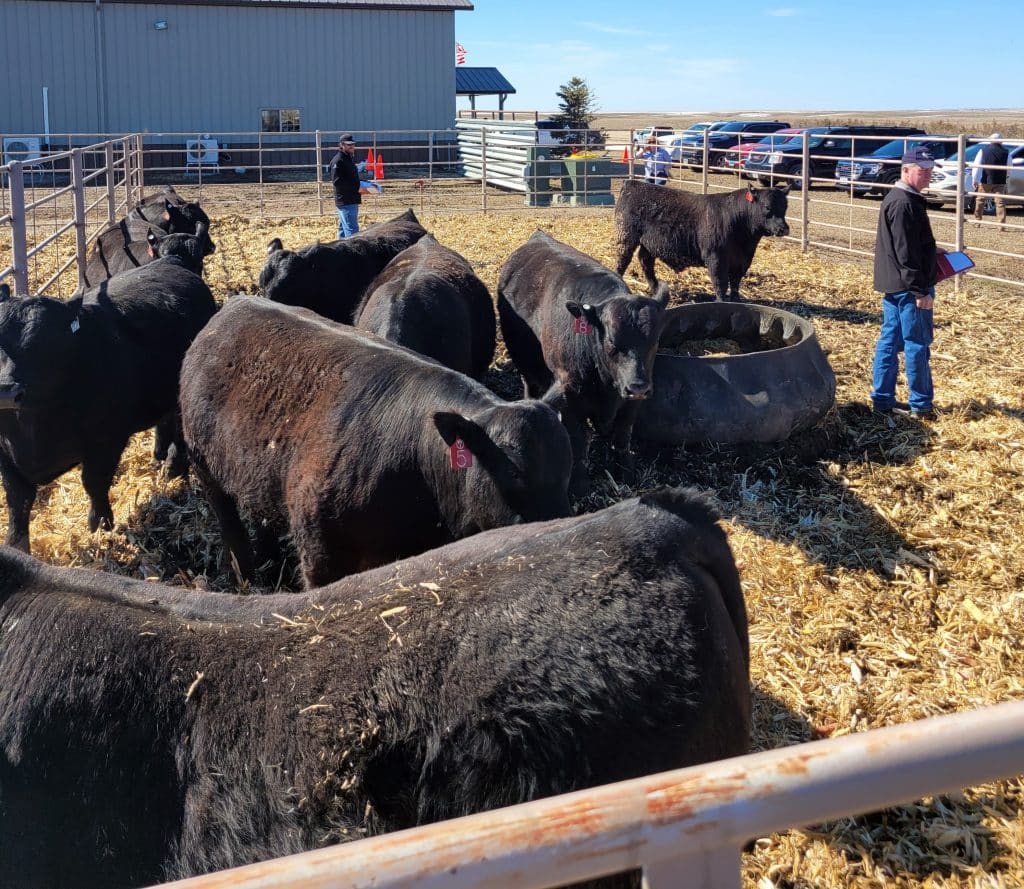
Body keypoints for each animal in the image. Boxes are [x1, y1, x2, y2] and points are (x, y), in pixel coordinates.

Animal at [0, 258, 217, 552]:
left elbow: (94, 482)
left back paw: (173, 467)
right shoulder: (5, 454)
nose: (7, 391)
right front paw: (15, 545)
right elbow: (17, 499)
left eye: (47, 343)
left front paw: (100, 524)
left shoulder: (106, 440)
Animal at [180, 296, 573, 588]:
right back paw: (246, 575)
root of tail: (233, 306)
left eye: (569, 471)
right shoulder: (319, 548)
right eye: (514, 472)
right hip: (204, 464)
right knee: (229, 520)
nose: (556, 529)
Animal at [498, 230, 670, 498]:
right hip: (523, 357)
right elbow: (579, 444)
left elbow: (622, 438)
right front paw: (580, 486)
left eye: (655, 341)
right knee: (530, 384)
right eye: (611, 341)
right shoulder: (570, 397)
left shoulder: (632, 403)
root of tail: (538, 237)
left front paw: (626, 473)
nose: (638, 386)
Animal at [615, 180, 790, 301]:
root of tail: (631, 183)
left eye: (785, 207)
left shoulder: (743, 260)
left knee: (646, 262)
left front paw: (736, 300)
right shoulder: (715, 258)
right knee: (622, 262)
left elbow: (735, 283)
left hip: (649, 243)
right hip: (626, 237)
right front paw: (721, 302)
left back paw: (655, 288)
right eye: (767, 207)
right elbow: (720, 283)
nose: (784, 228)